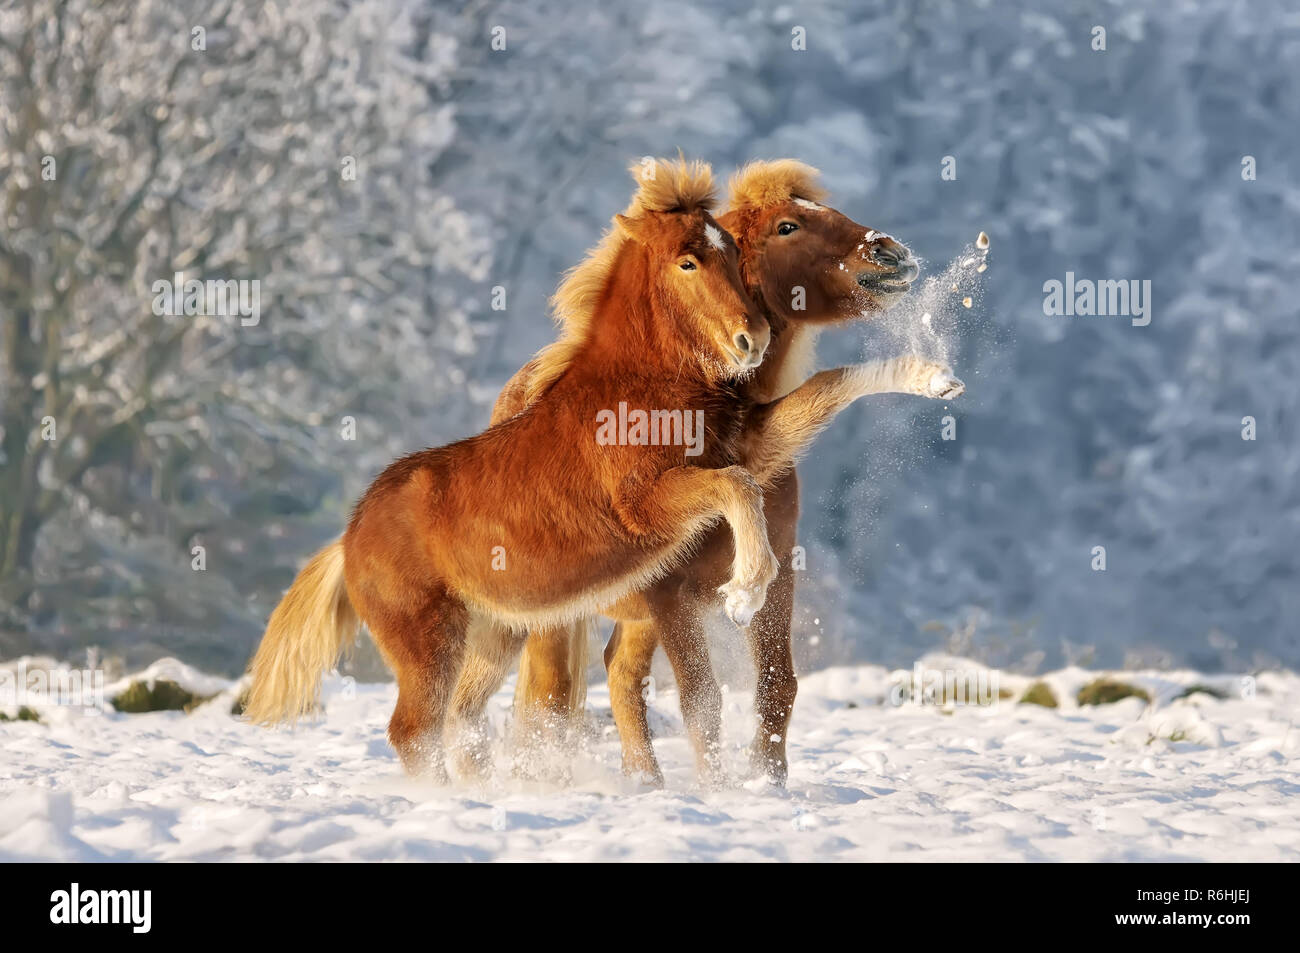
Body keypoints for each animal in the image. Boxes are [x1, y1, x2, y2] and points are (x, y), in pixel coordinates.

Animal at [243, 157, 780, 778]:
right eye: (687, 261)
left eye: (733, 253)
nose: (753, 339)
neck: (634, 392)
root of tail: (347, 539)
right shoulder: (645, 505)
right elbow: (736, 486)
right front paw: (745, 592)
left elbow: (749, 475)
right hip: (430, 644)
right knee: (414, 730)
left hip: (493, 635)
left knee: (459, 718)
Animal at [452, 160, 964, 785]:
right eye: (788, 225)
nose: (891, 253)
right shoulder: (669, 591)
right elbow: (701, 699)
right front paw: (718, 792)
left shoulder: (779, 577)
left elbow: (777, 688)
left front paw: (768, 785)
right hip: (555, 614)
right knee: (546, 697)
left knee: (618, 677)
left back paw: (644, 783)